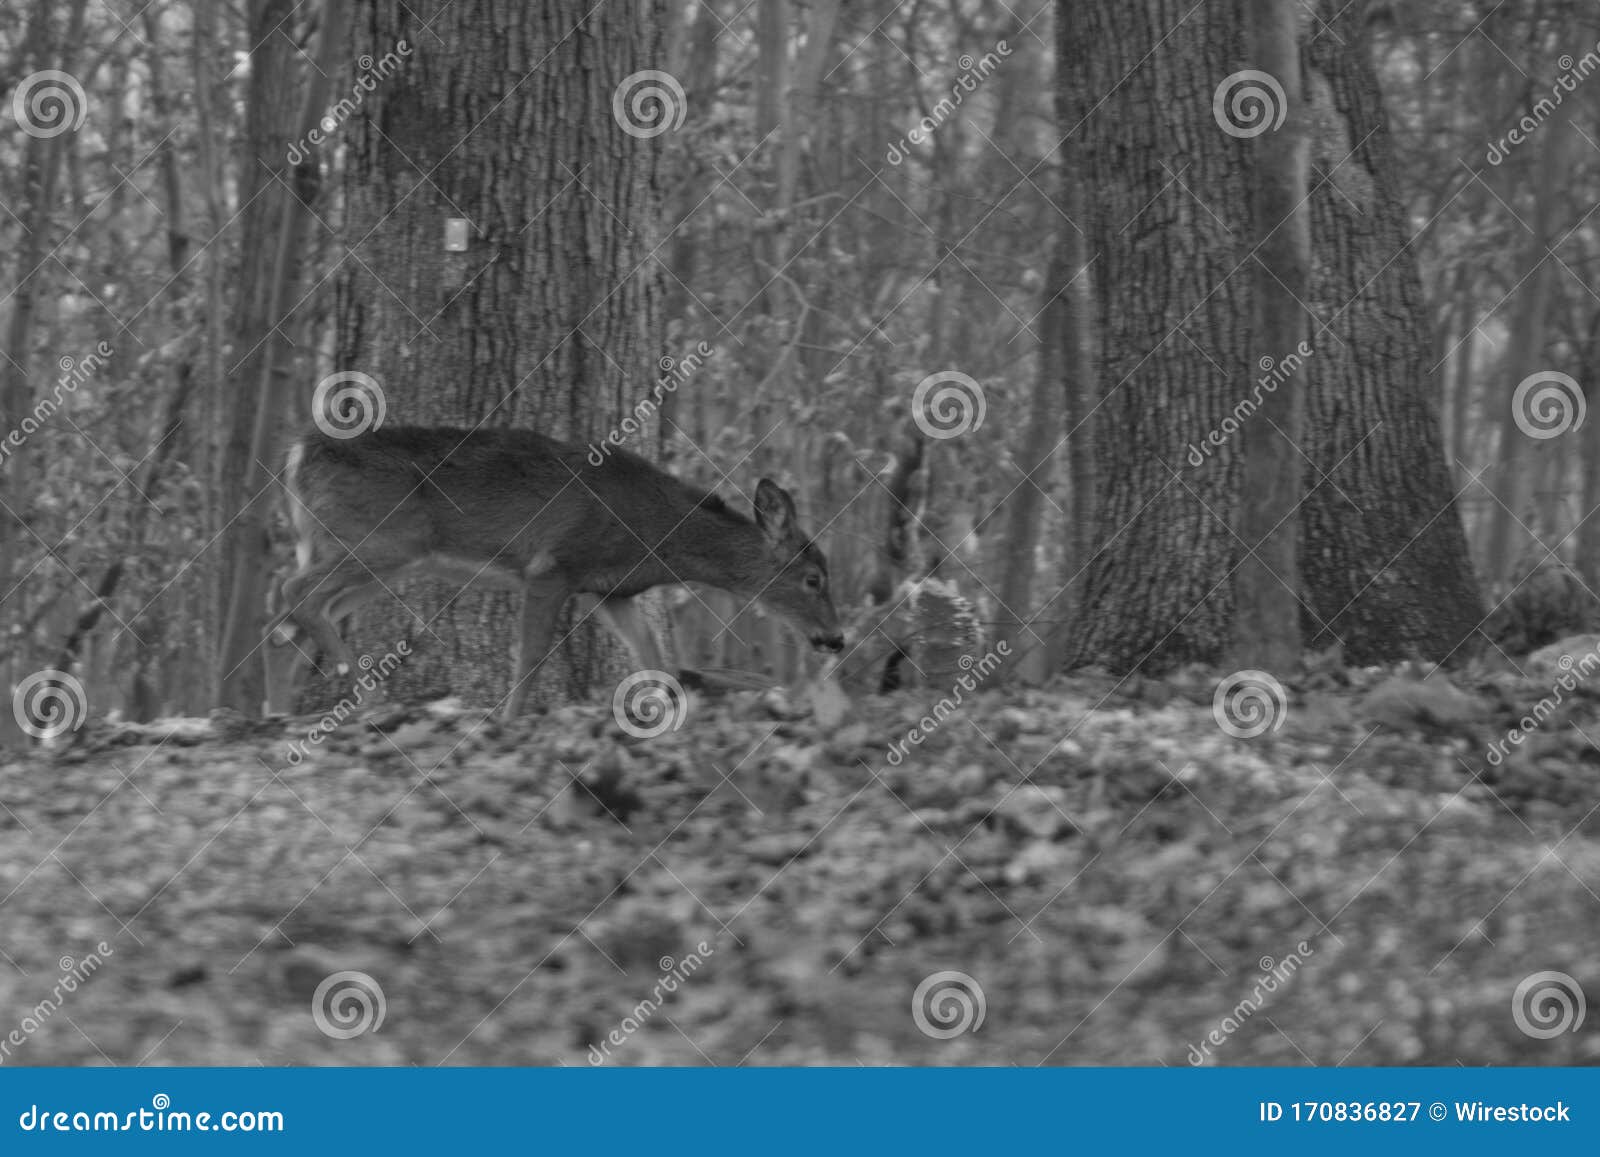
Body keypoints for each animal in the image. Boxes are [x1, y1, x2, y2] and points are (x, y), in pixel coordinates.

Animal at [267, 425, 845, 721]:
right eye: (813, 578)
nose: (836, 638)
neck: (653, 534)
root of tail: (296, 454)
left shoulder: (608, 591)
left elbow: (656, 658)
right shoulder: (553, 566)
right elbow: (530, 656)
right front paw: (508, 720)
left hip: (375, 557)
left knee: (295, 612)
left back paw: (284, 708)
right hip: (379, 540)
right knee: (293, 589)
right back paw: (357, 689)